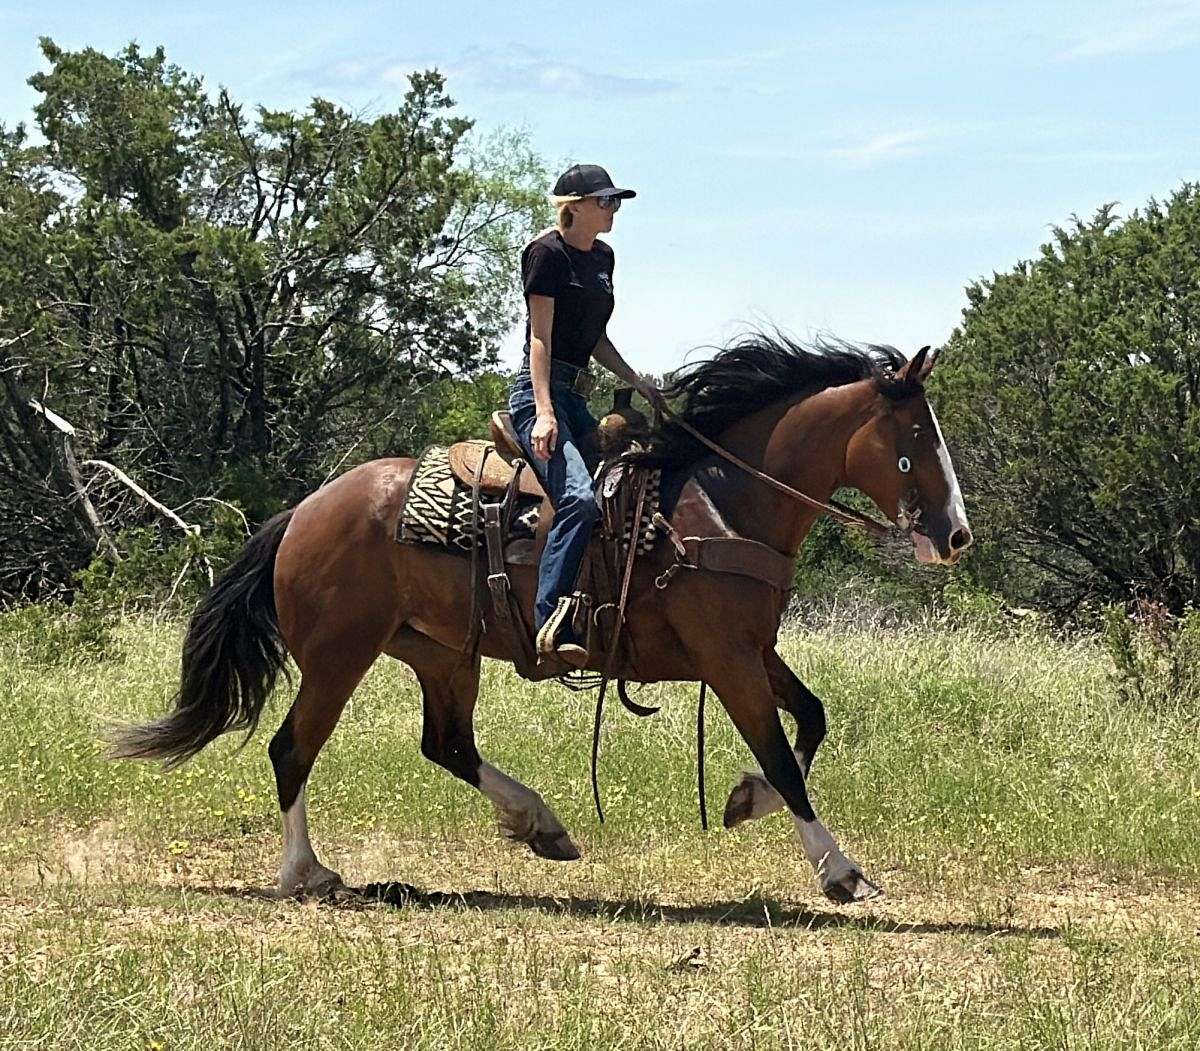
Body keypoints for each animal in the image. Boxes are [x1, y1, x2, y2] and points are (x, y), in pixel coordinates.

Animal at [110, 335, 972, 905]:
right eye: (917, 436)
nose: (956, 535)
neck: (720, 503)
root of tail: (304, 511)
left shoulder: (754, 649)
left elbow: (812, 721)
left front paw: (743, 800)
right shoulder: (727, 658)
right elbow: (787, 759)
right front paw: (840, 869)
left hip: (440, 654)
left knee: (448, 744)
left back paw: (541, 824)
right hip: (338, 653)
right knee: (294, 748)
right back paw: (306, 873)